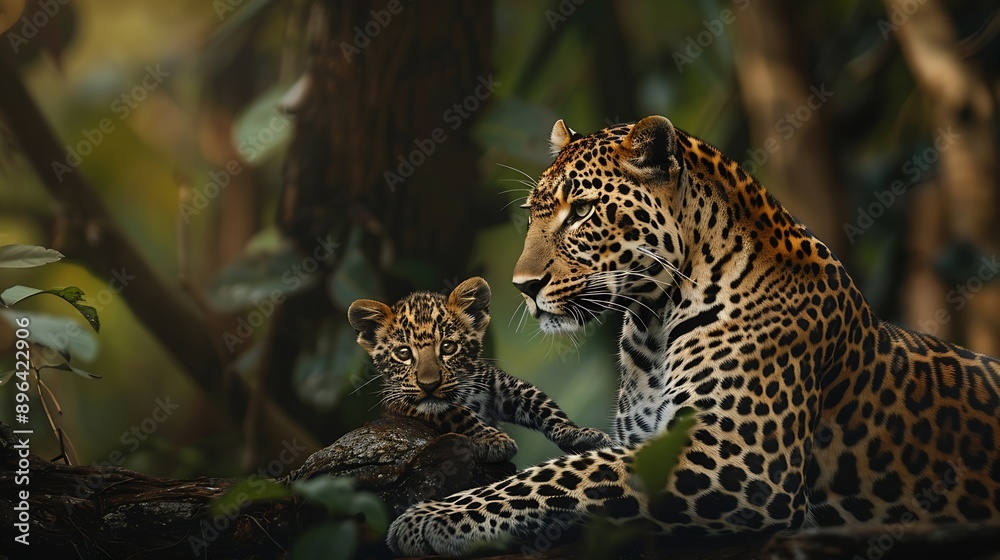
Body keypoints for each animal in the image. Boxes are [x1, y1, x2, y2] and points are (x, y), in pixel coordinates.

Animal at [347, 276, 612, 466]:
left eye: (448, 347)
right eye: (403, 353)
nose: (429, 385)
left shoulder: (501, 384)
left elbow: (542, 404)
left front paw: (576, 433)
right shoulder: (403, 404)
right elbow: (457, 413)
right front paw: (495, 440)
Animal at [386, 116, 1000, 556]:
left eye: (581, 211)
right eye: (535, 214)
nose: (523, 287)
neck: (654, 323)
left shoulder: (736, 459)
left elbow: (562, 474)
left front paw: (428, 519)